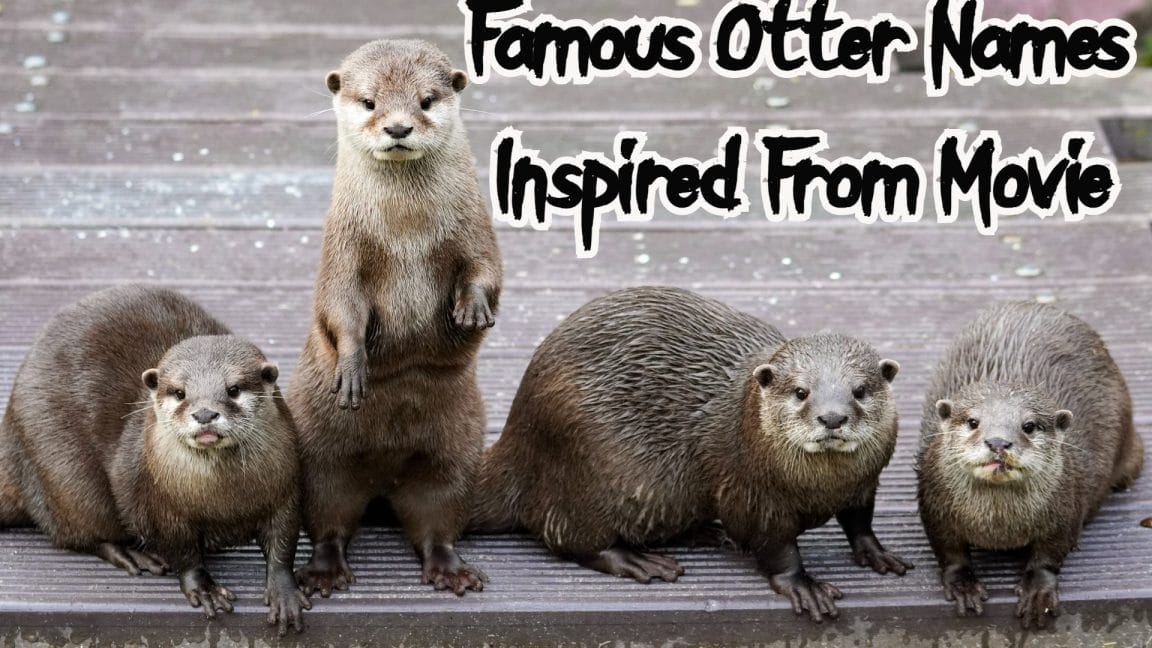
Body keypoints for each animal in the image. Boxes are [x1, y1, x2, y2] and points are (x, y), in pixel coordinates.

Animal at [0, 285, 310, 635]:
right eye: (179, 392)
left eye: (234, 389)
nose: (205, 413)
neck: (224, 501)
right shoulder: (160, 504)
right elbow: (181, 551)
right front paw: (204, 588)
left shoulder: (286, 490)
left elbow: (283, 542)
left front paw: (284, 592)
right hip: (64, 476)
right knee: (79, 533)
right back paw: (131, 554)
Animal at [290, 39, 500, 597]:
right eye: (369, 102)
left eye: (426, 101)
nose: (399, 127)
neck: (406, 229)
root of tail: (382, 481)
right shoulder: (343, 248)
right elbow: (340, 306)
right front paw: (353, 366)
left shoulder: (474, 228)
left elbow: (487, 271)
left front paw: (472, 308)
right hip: (320, 455)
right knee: (329, 517)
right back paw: (324, 572)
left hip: (457, 451)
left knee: (436, 518)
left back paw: (450, 569)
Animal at [472, 286, 909, 622]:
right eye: (801, 391)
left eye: (859, 390)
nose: (832, 417)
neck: (824, 488)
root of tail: (516, 435)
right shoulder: (751, 493)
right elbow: (774, 545)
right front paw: (802, 584)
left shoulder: (865, 483)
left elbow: (859, 519)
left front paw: (877, 552)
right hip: (586, 470)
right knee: (567, 537)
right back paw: (638, 561)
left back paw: (707, 533)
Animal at [917, 301, 1143, 629]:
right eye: (973, 422)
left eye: (1029, 426)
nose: (998, 442)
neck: (999, 527)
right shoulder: (935, 507)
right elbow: (949, 551)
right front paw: (963, 585)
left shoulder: (1065, 508)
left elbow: (1048, 555)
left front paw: (1038, 591)